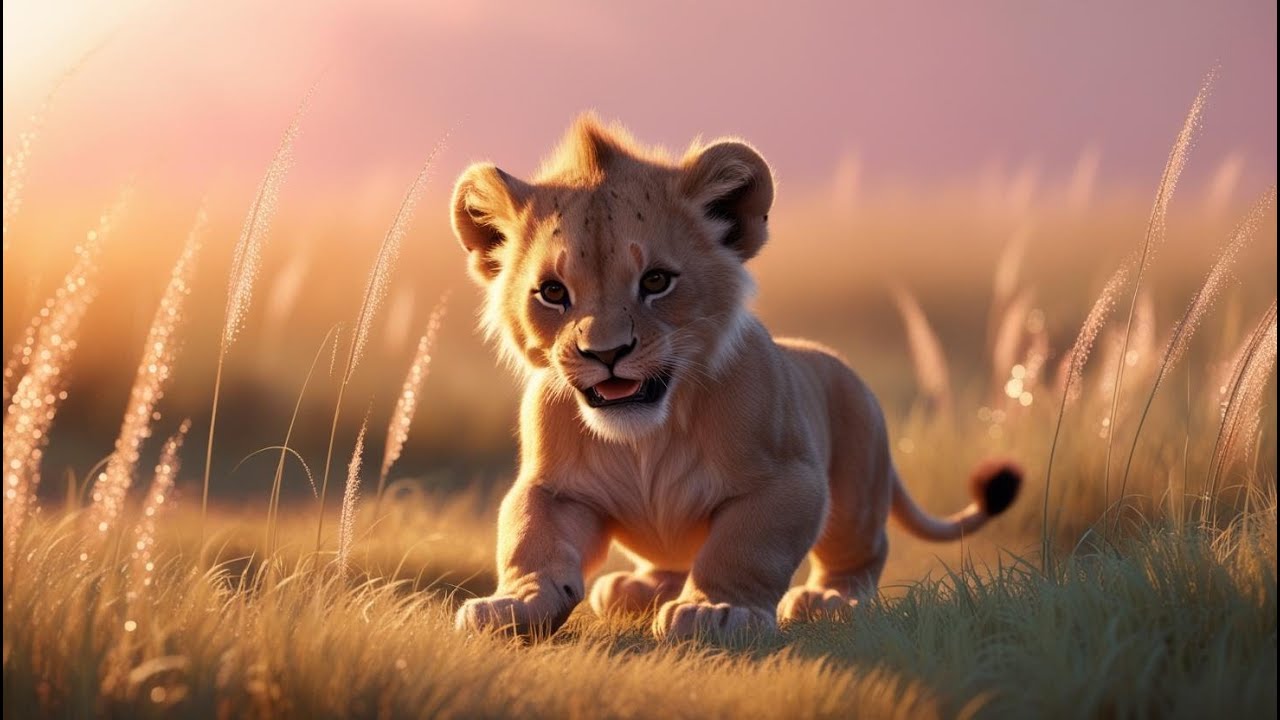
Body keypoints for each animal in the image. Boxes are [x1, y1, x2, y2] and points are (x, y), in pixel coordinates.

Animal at [449, 114, 1021, 642]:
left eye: (656, 281)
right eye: (552, 292)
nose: (606, 353)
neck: (645, 438)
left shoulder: (788, 481)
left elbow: (742, 548)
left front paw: (716, 611)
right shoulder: (554, 488)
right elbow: (530, 538)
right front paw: (512, 605)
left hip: (857, 488)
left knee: (861, 549)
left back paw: (831, 599)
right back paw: (637, 589)